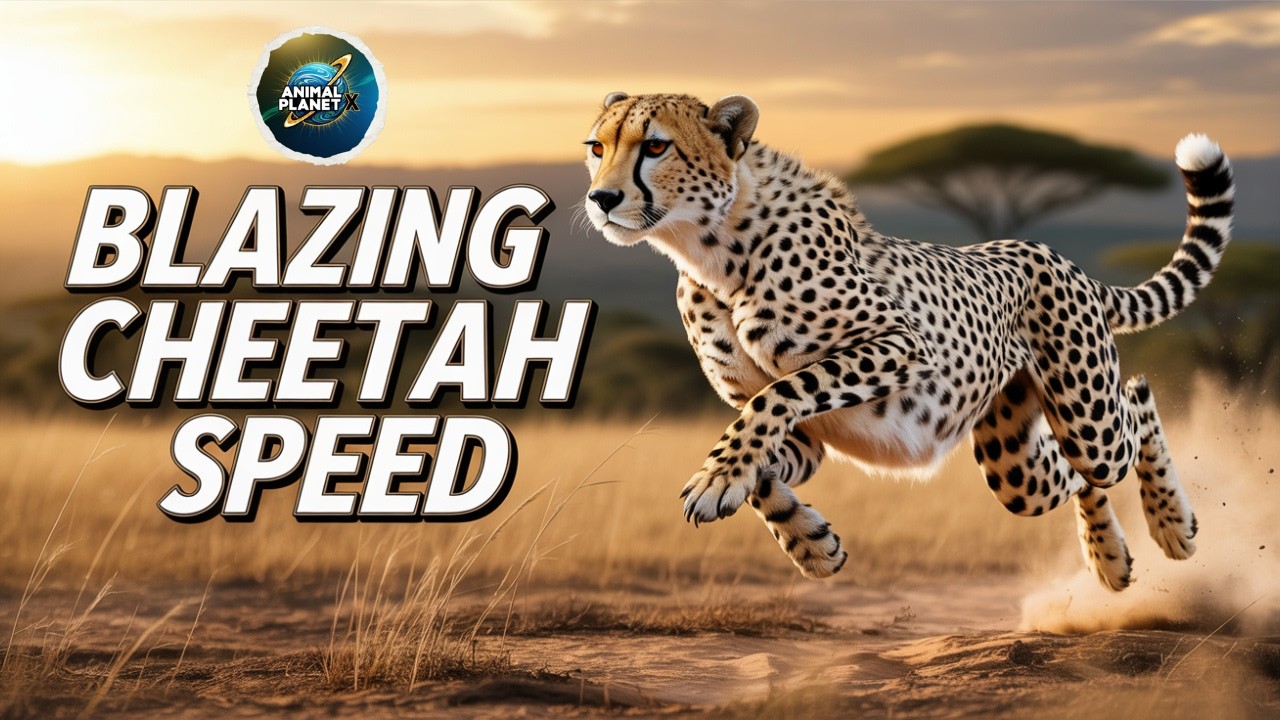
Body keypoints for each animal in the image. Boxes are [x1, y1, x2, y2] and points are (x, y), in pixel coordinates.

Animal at [582, 92, 1233, 590]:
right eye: (597, 148)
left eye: (656, 146)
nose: (600, 198)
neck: (712, 252)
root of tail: (1047, 252)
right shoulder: (804, 440)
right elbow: (761, 463)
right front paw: (810, 544)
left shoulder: (901, 345)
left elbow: (778, 395)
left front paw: (718, 481)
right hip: (1016, 463)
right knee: (1078, 475)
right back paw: (1109, 556)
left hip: (1088, 419)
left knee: (1136, 405)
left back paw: (1173, 525)